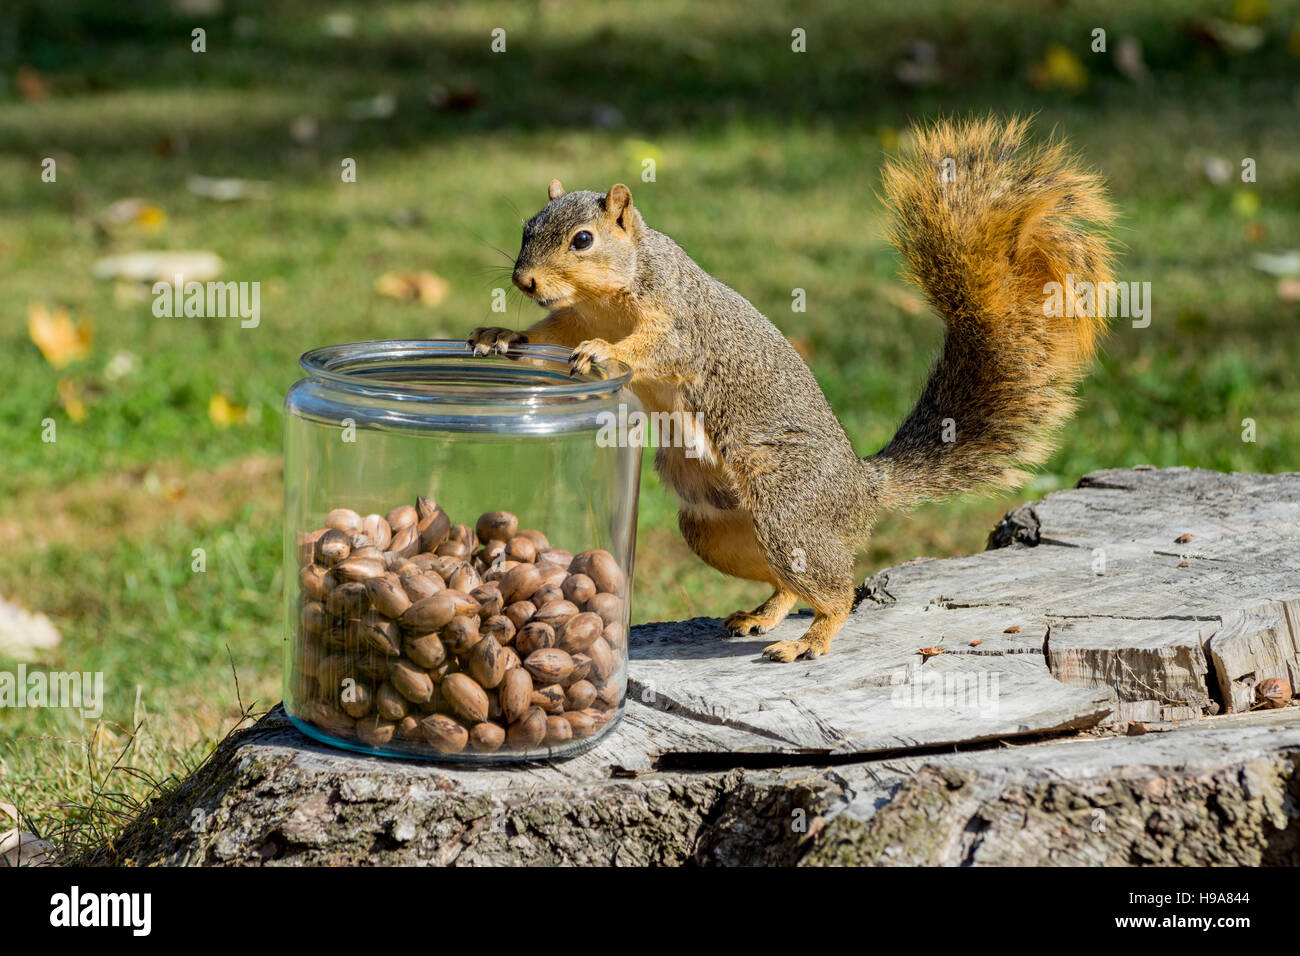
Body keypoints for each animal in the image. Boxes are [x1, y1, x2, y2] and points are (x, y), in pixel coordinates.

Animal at [468, 116, 1115, 663]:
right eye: (526, 228)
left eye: (582, 240)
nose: (524, 280)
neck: (604, 301)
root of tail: (861, 488)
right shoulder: (569, 319)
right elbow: (544, 335)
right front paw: (500, 335)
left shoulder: (679, 323)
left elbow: (655, 349)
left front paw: (606, 353)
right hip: (717, 532)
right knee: (787, 581)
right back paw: (763, 614)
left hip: (787, 509)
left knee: (837, 589)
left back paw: (811, 639)